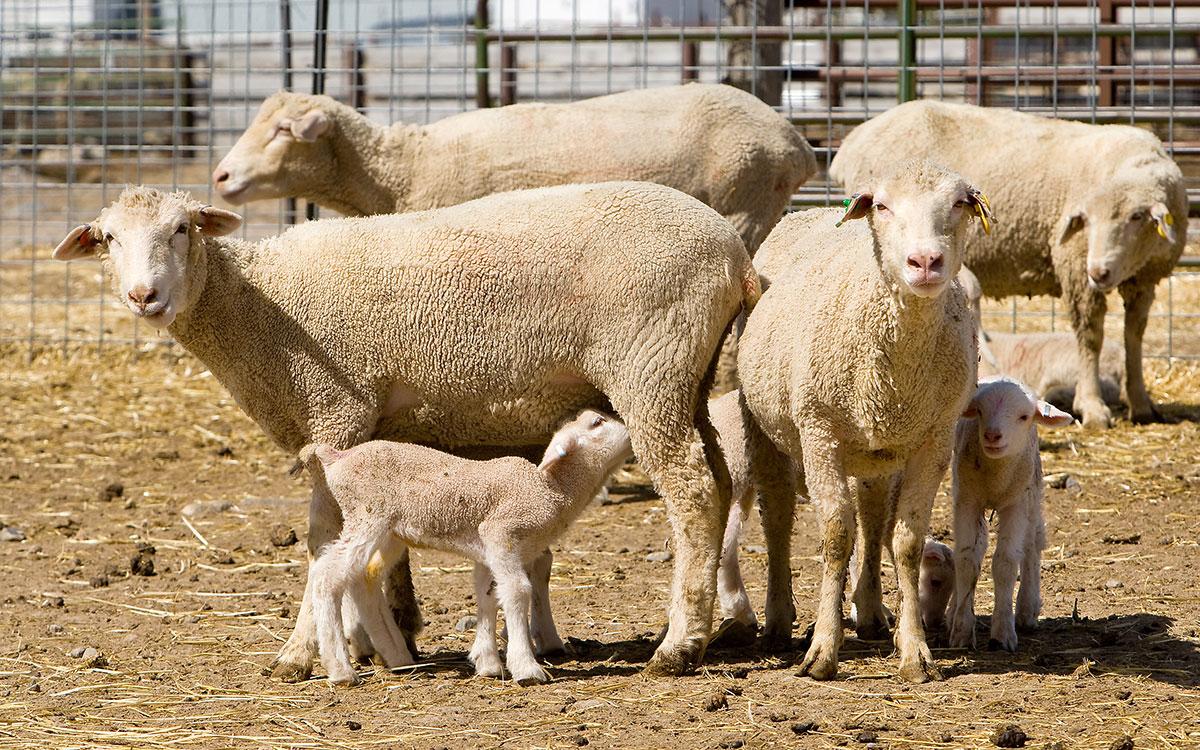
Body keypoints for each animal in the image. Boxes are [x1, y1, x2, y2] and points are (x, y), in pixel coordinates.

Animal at [297, 409, 632, 686]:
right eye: (597, 422)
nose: (630, 430)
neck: (553, 490)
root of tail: (337, 456)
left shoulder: (489, 553)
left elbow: (488, 597)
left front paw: (487, 663)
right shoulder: (501, 534)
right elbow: (518, 591)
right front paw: (526, 668)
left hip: (389, 532)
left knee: (363, 576)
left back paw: (398, 658)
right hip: (367, 516)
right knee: (327, 576)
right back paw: (341, 670)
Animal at [737, 161, 985, 682]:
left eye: (959, 203)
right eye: (883, 205)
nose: (925, 262)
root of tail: (816, 210)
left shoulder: (934, 440)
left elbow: (905, 542)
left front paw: (915, 652)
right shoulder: (819, 433)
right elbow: (835, 538)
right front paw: (822, 652)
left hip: (878, 450)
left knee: (872, 522)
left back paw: (870, 611)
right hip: (768, 425)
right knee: (778, 518)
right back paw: (778, 619)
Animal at [831, 100, 1189, 428]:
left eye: (1137, 216)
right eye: (1085, 220)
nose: (1099, 272)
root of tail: (853, 139)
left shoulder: (1144, 279)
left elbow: (1134, 335)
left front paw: (1140, 402)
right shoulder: (1075, 268)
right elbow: (1091, 337)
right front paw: (1093, 407)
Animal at [947, 378, 1073, 652]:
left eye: (1023, 417)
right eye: (979, 412)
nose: (992, 435)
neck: (996, 477)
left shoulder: (1016, 504)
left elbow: (1005, 562)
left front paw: (1003, 632)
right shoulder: (966, 500)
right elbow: (966, 559)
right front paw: (961, 629)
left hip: (1032, 492)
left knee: (1032, 543)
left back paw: (1027, 609)